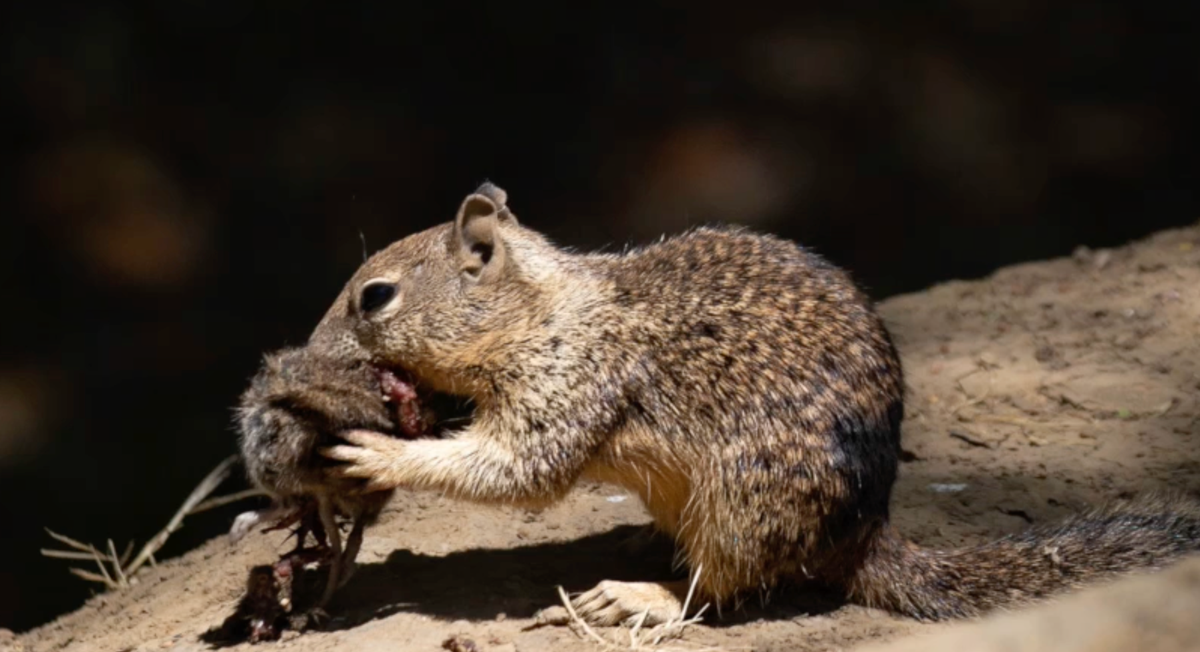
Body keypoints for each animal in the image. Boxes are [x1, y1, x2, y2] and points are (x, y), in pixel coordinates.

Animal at [301, 182, 1200, 627]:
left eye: (375, 297)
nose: (308, 349)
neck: (542, 310)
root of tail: (862, 534)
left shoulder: (571, 380)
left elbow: (519, 468)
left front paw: (380, 453)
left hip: (745, 500)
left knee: (722, 589)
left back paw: (640, 596)